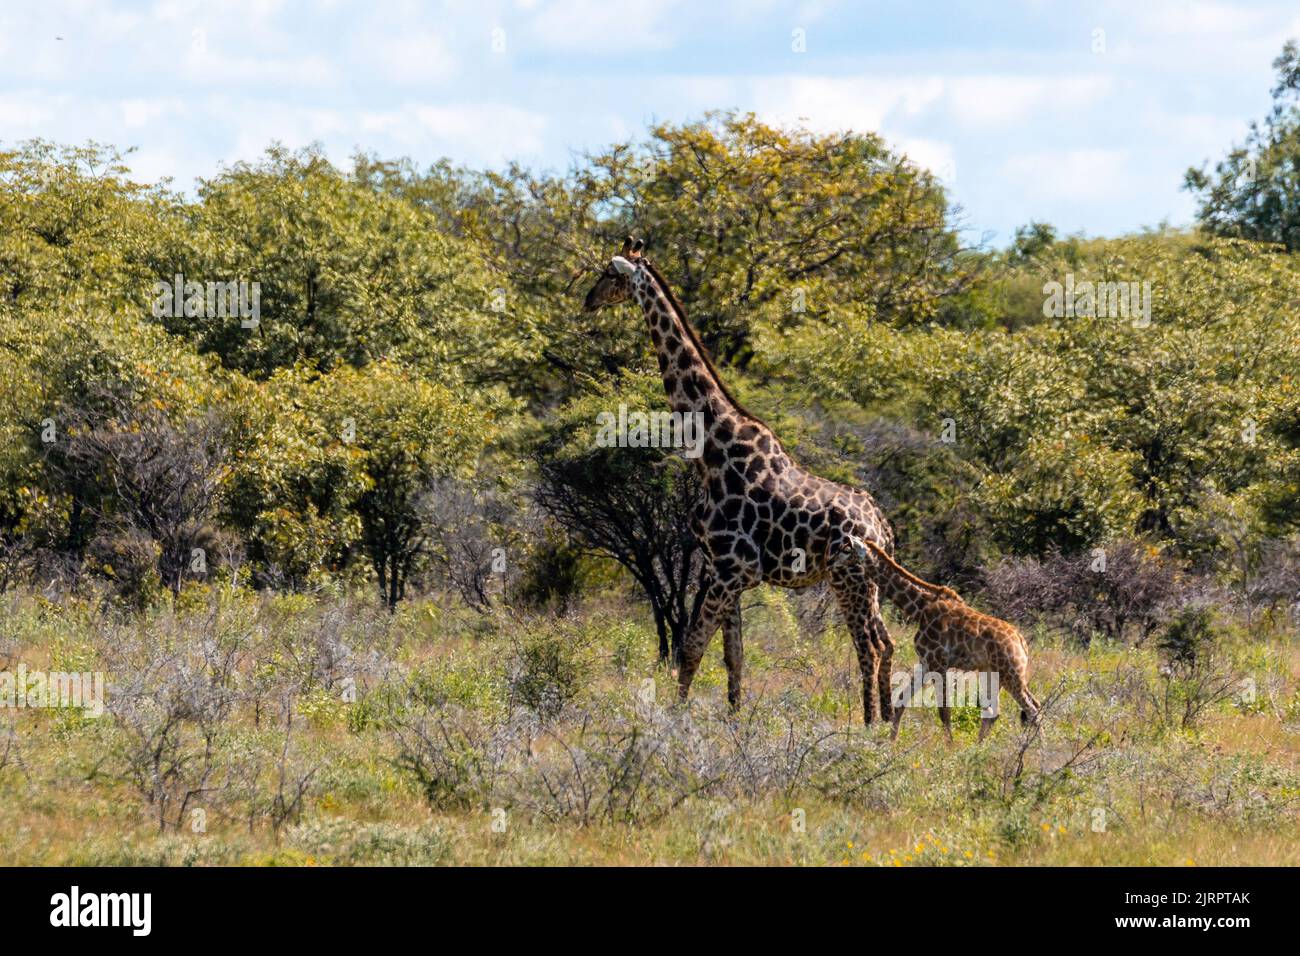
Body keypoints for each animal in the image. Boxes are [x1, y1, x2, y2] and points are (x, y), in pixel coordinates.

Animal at [582, 237, 897, 723]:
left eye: (610, 274)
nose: (588, 301)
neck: (712, 452)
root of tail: (882, 527)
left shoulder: (734, 569)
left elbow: (693, 647)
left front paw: (676, 718)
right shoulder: (721, 568)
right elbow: (734, 654)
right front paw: (732, 719)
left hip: (849, 578)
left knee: (870, 646)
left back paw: (868, 726)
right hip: (871, 582)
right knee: (887, 642)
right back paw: (889, 722)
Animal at [846, 537, 1040, 742]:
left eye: (846, 549)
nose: (835, 562)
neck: (920, 608)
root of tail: (1021, 641)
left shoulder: (938, 662)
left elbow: (944, 711)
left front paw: (950, 746)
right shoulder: (925, 662)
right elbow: (901, 701)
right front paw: (891, 743)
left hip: (1011, 673)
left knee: (1032, 708)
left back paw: (1039, 746)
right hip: (993, 672)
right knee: (995, 711)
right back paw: (979, 746)